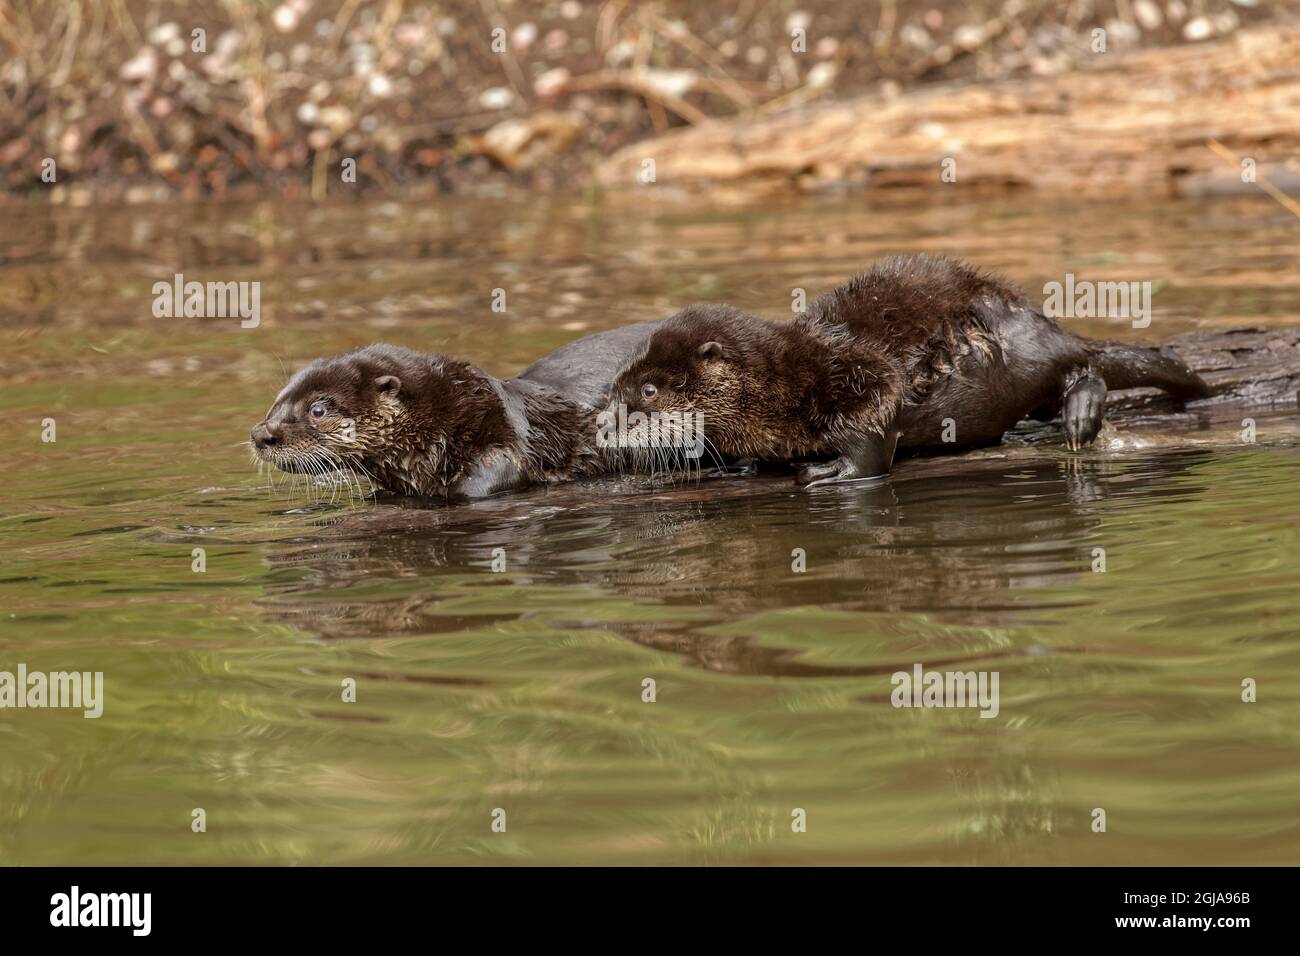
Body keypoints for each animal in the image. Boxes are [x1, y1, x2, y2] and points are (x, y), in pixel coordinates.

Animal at [606, 255, 1213, 487]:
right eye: (622, 376)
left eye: (650, 388)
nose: (609, 418)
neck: (779, 382)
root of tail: (1041, 321)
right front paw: (734, 467)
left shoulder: (851, 374)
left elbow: (877, 425)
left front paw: (828, 472)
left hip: (1028, 353)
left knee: (1085, 366)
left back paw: (1079, 419)